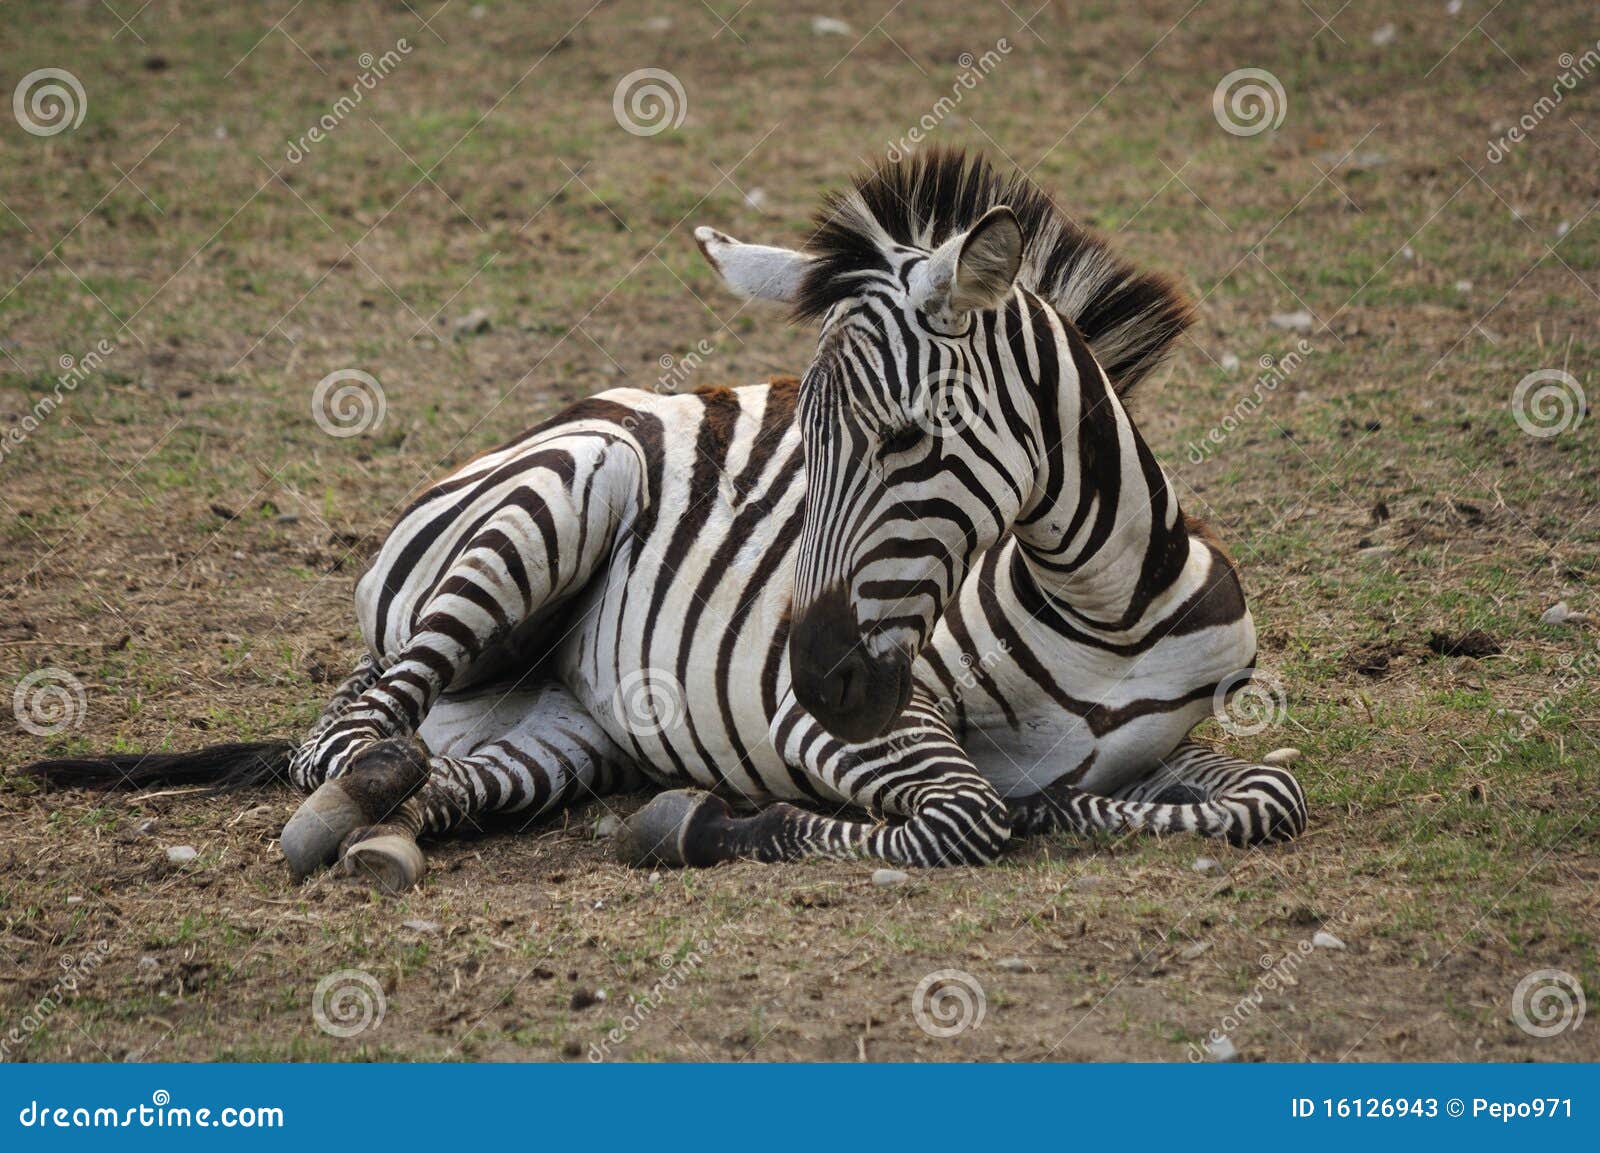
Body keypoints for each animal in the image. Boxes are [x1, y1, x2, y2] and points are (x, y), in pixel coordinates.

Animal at [22, 150, 1306, 891]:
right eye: (806, 442)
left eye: (905, 442)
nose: (819, 672)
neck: (1103, 614)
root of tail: (578, 408)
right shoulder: (824, 729)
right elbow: (966, 816)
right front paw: (708, 825)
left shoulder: (1170, 744)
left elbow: (1262, 800)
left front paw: (1068, 807)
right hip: (553, 499)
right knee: (353, 733)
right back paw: (342, 812)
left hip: (561, 731)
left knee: (442, 770)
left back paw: (388, 835)